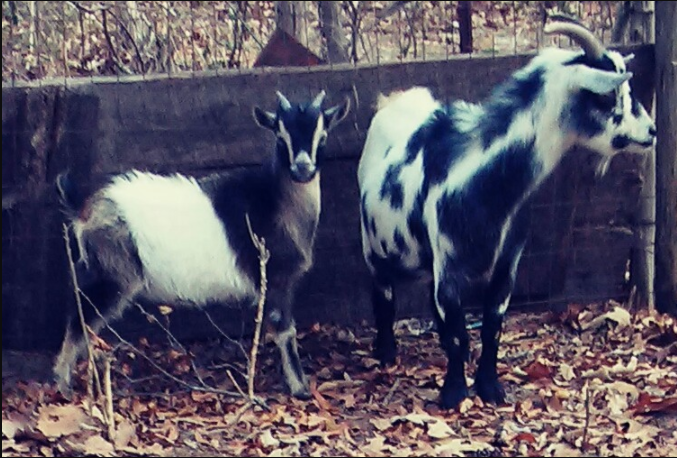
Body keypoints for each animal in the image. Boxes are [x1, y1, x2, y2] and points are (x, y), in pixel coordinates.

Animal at [53, 90, 350, 399]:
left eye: (322, 136)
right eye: (281, 137)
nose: (302, 168)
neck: (273, 199)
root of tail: (84, 208)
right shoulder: (275, 277)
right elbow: (285, 331)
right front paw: (300, 388)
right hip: (113, 272)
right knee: (81, 318)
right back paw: (64, 386)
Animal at [357, 22, 655, 409]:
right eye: (606, 97)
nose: (651, 131)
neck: (480, 181)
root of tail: (393, 99)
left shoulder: (506, 263)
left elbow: (491, 328)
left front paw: (490, 388)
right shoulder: (448, 264)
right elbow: (458, 333)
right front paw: (453, 393)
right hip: (374, 244)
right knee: (382, 291)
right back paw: (386, 351)